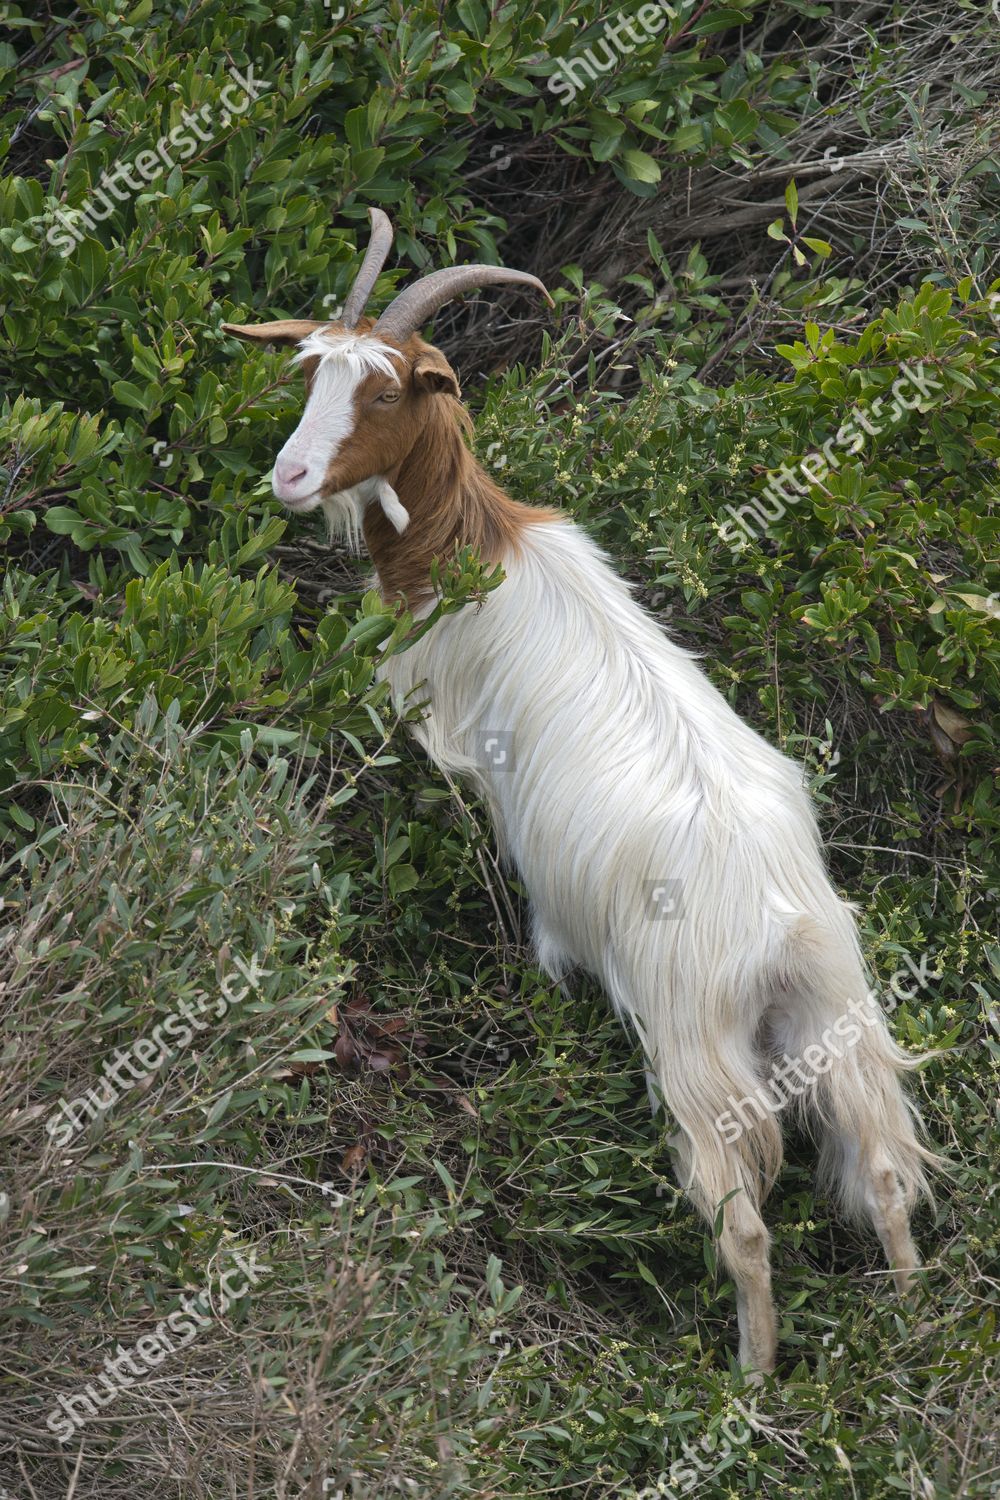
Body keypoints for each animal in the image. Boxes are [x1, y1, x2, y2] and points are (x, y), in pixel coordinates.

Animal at [224, 209, 938, 1376]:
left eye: (386, 392)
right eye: (310, 370)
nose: (288, 476)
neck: (470, 557)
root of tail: (775, 925)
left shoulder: (444, 744)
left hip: (692, 1042)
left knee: (744, 1221)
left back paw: (749, 1382)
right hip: (839, 1015)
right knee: (879, 1169)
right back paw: (916, 1328)